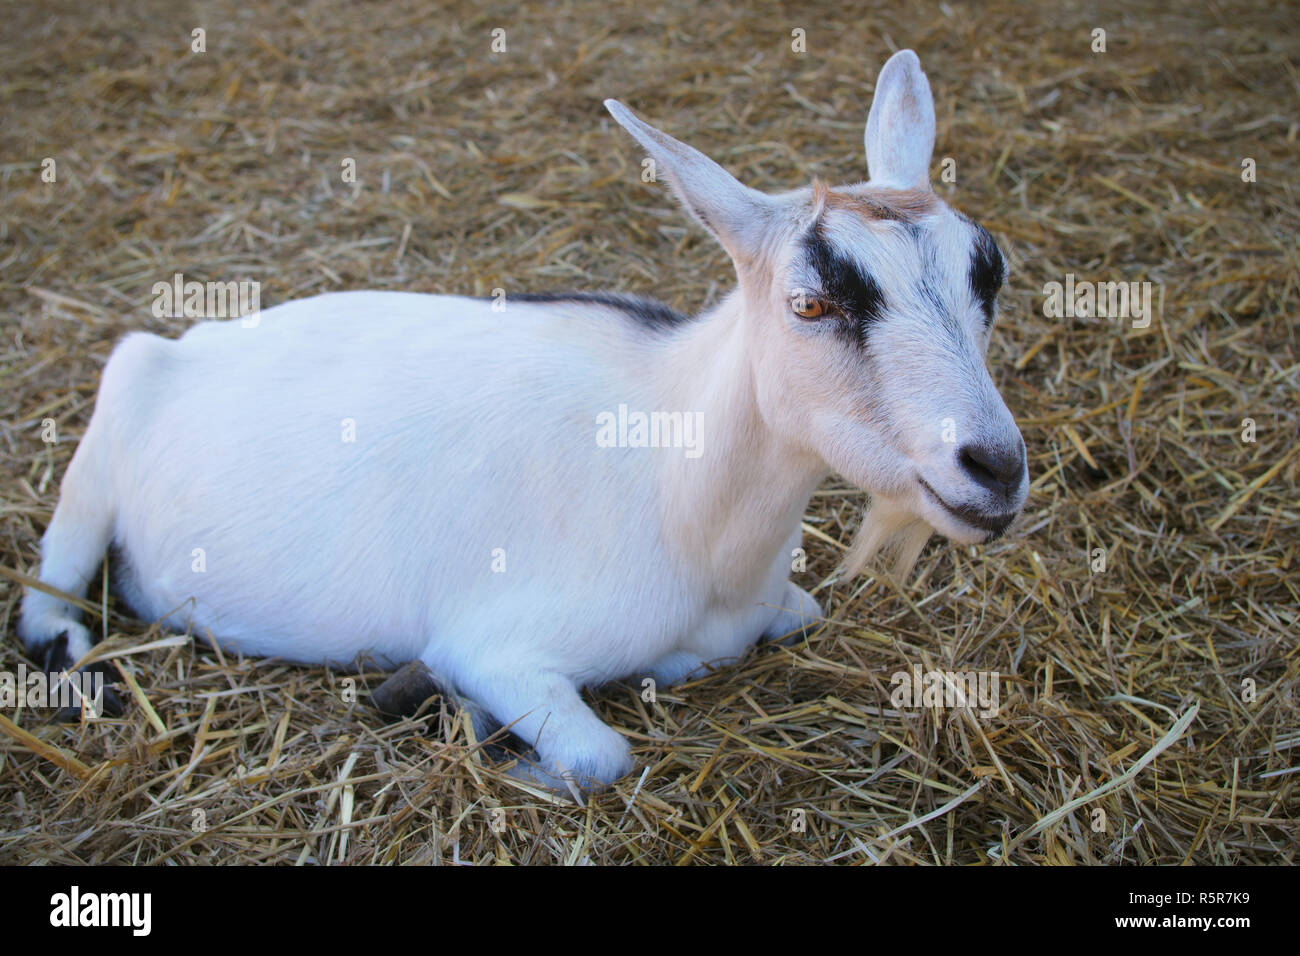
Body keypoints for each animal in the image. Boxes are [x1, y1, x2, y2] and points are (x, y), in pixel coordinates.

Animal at [18, 50, 1028, 793]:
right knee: (51, 586)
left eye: (991, 269)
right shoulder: (500, 645)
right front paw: (455, 713)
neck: (683, 496)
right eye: (810, 303)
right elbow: (598, 755)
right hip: (101, 448)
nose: (995, 467)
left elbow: (799, 615)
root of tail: (183, 349)